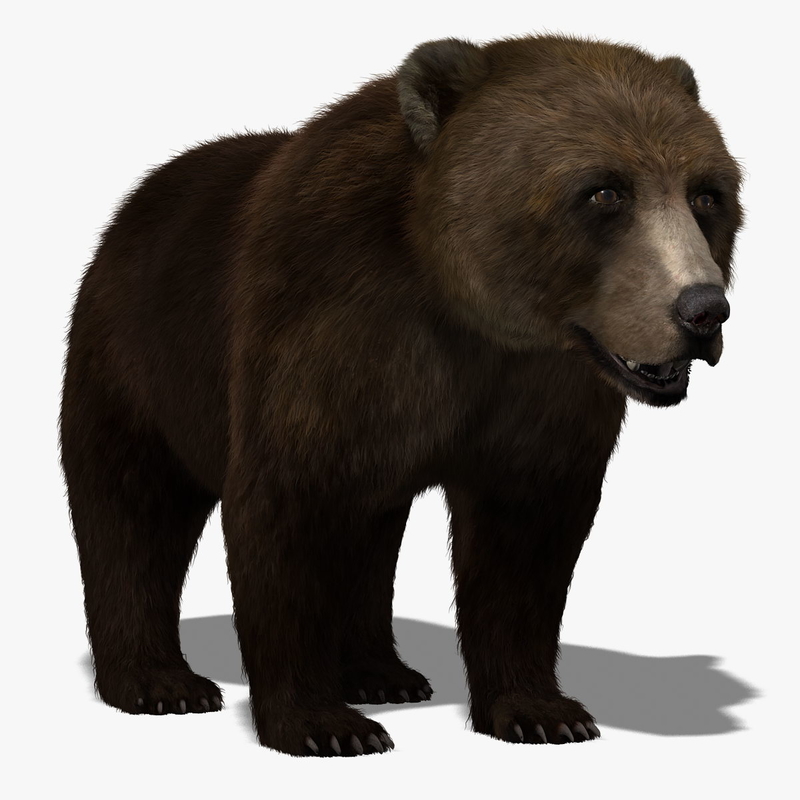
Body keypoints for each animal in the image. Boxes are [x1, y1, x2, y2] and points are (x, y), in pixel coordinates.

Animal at [59, 34, 743, 757]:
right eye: (604, 191)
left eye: (707, 195)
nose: (703, 309)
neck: (463, 309)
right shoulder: (322, 335)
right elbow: (286, 513)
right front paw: (325, 725)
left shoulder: (542, 392)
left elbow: (526, 535)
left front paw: (543, 712)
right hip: (134, 359)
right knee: (132, 503)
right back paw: (161, 682)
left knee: (367, 530)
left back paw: (381, 673)